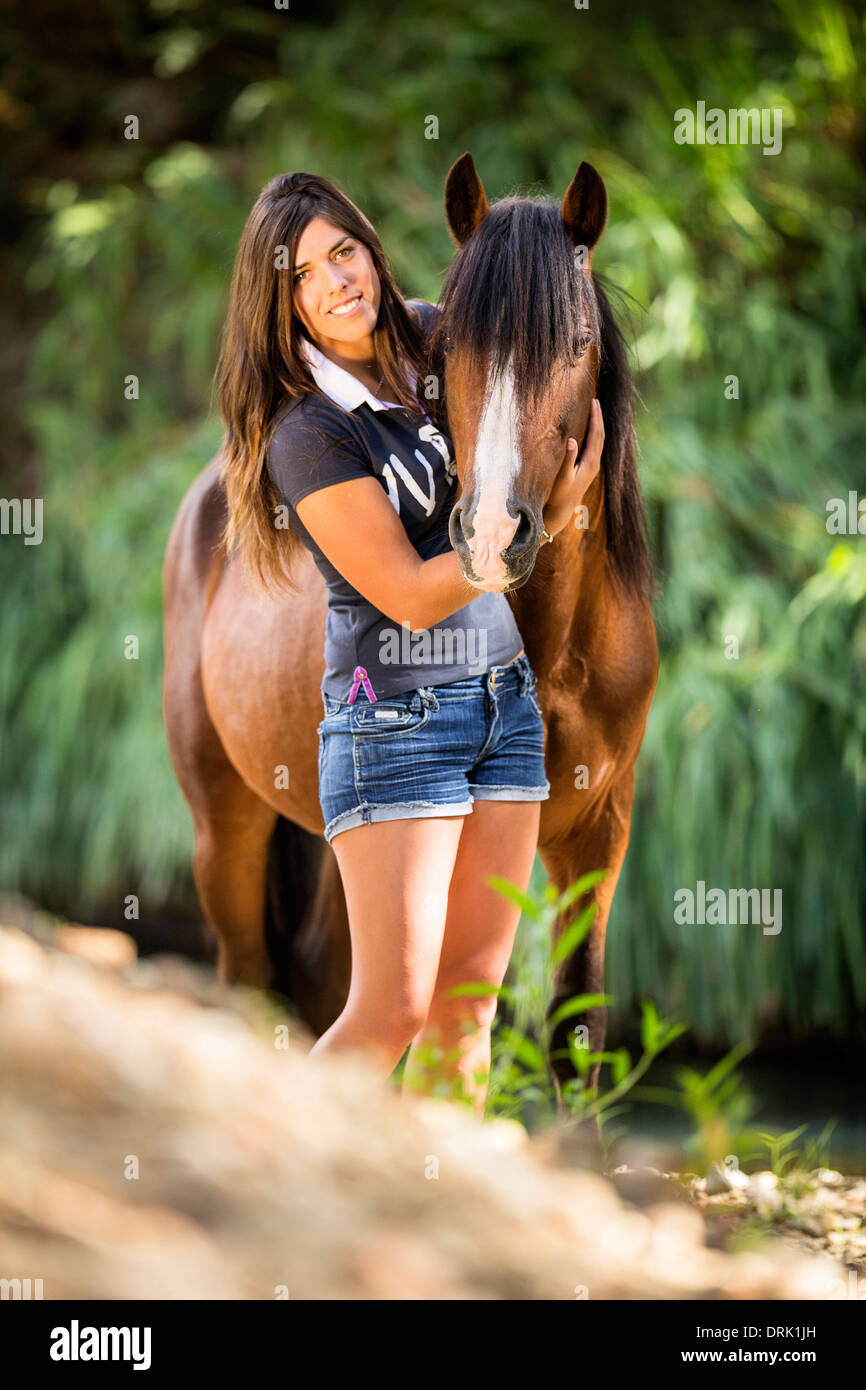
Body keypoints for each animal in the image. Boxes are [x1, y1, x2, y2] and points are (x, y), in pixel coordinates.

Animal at [162, 153, 658, 1103]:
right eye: (450, 347)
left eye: (578, 343)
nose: (493, 535)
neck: (560, 652)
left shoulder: (601, 835)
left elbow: (574, 1033)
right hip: (225, 831)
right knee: (253, 984)